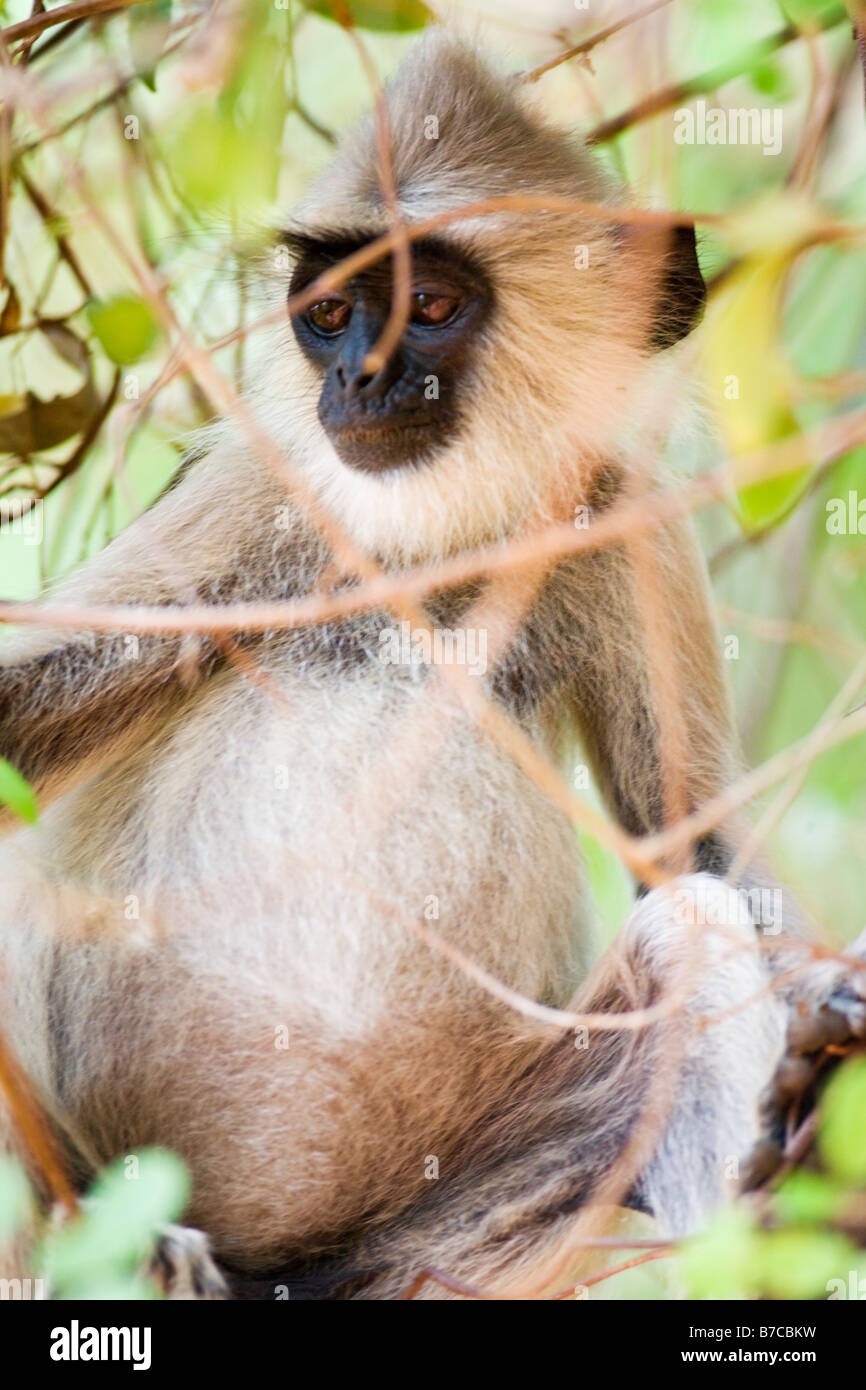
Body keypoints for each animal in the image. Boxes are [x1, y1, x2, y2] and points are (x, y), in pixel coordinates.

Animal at [0, 31, 863, 1301]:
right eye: (330, 313)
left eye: (434, 306)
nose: (355, 378)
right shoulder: (268, 491)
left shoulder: (620, 508)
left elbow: (695, 848)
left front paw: (832, 1021)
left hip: (427, 1242)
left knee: (689, 933)